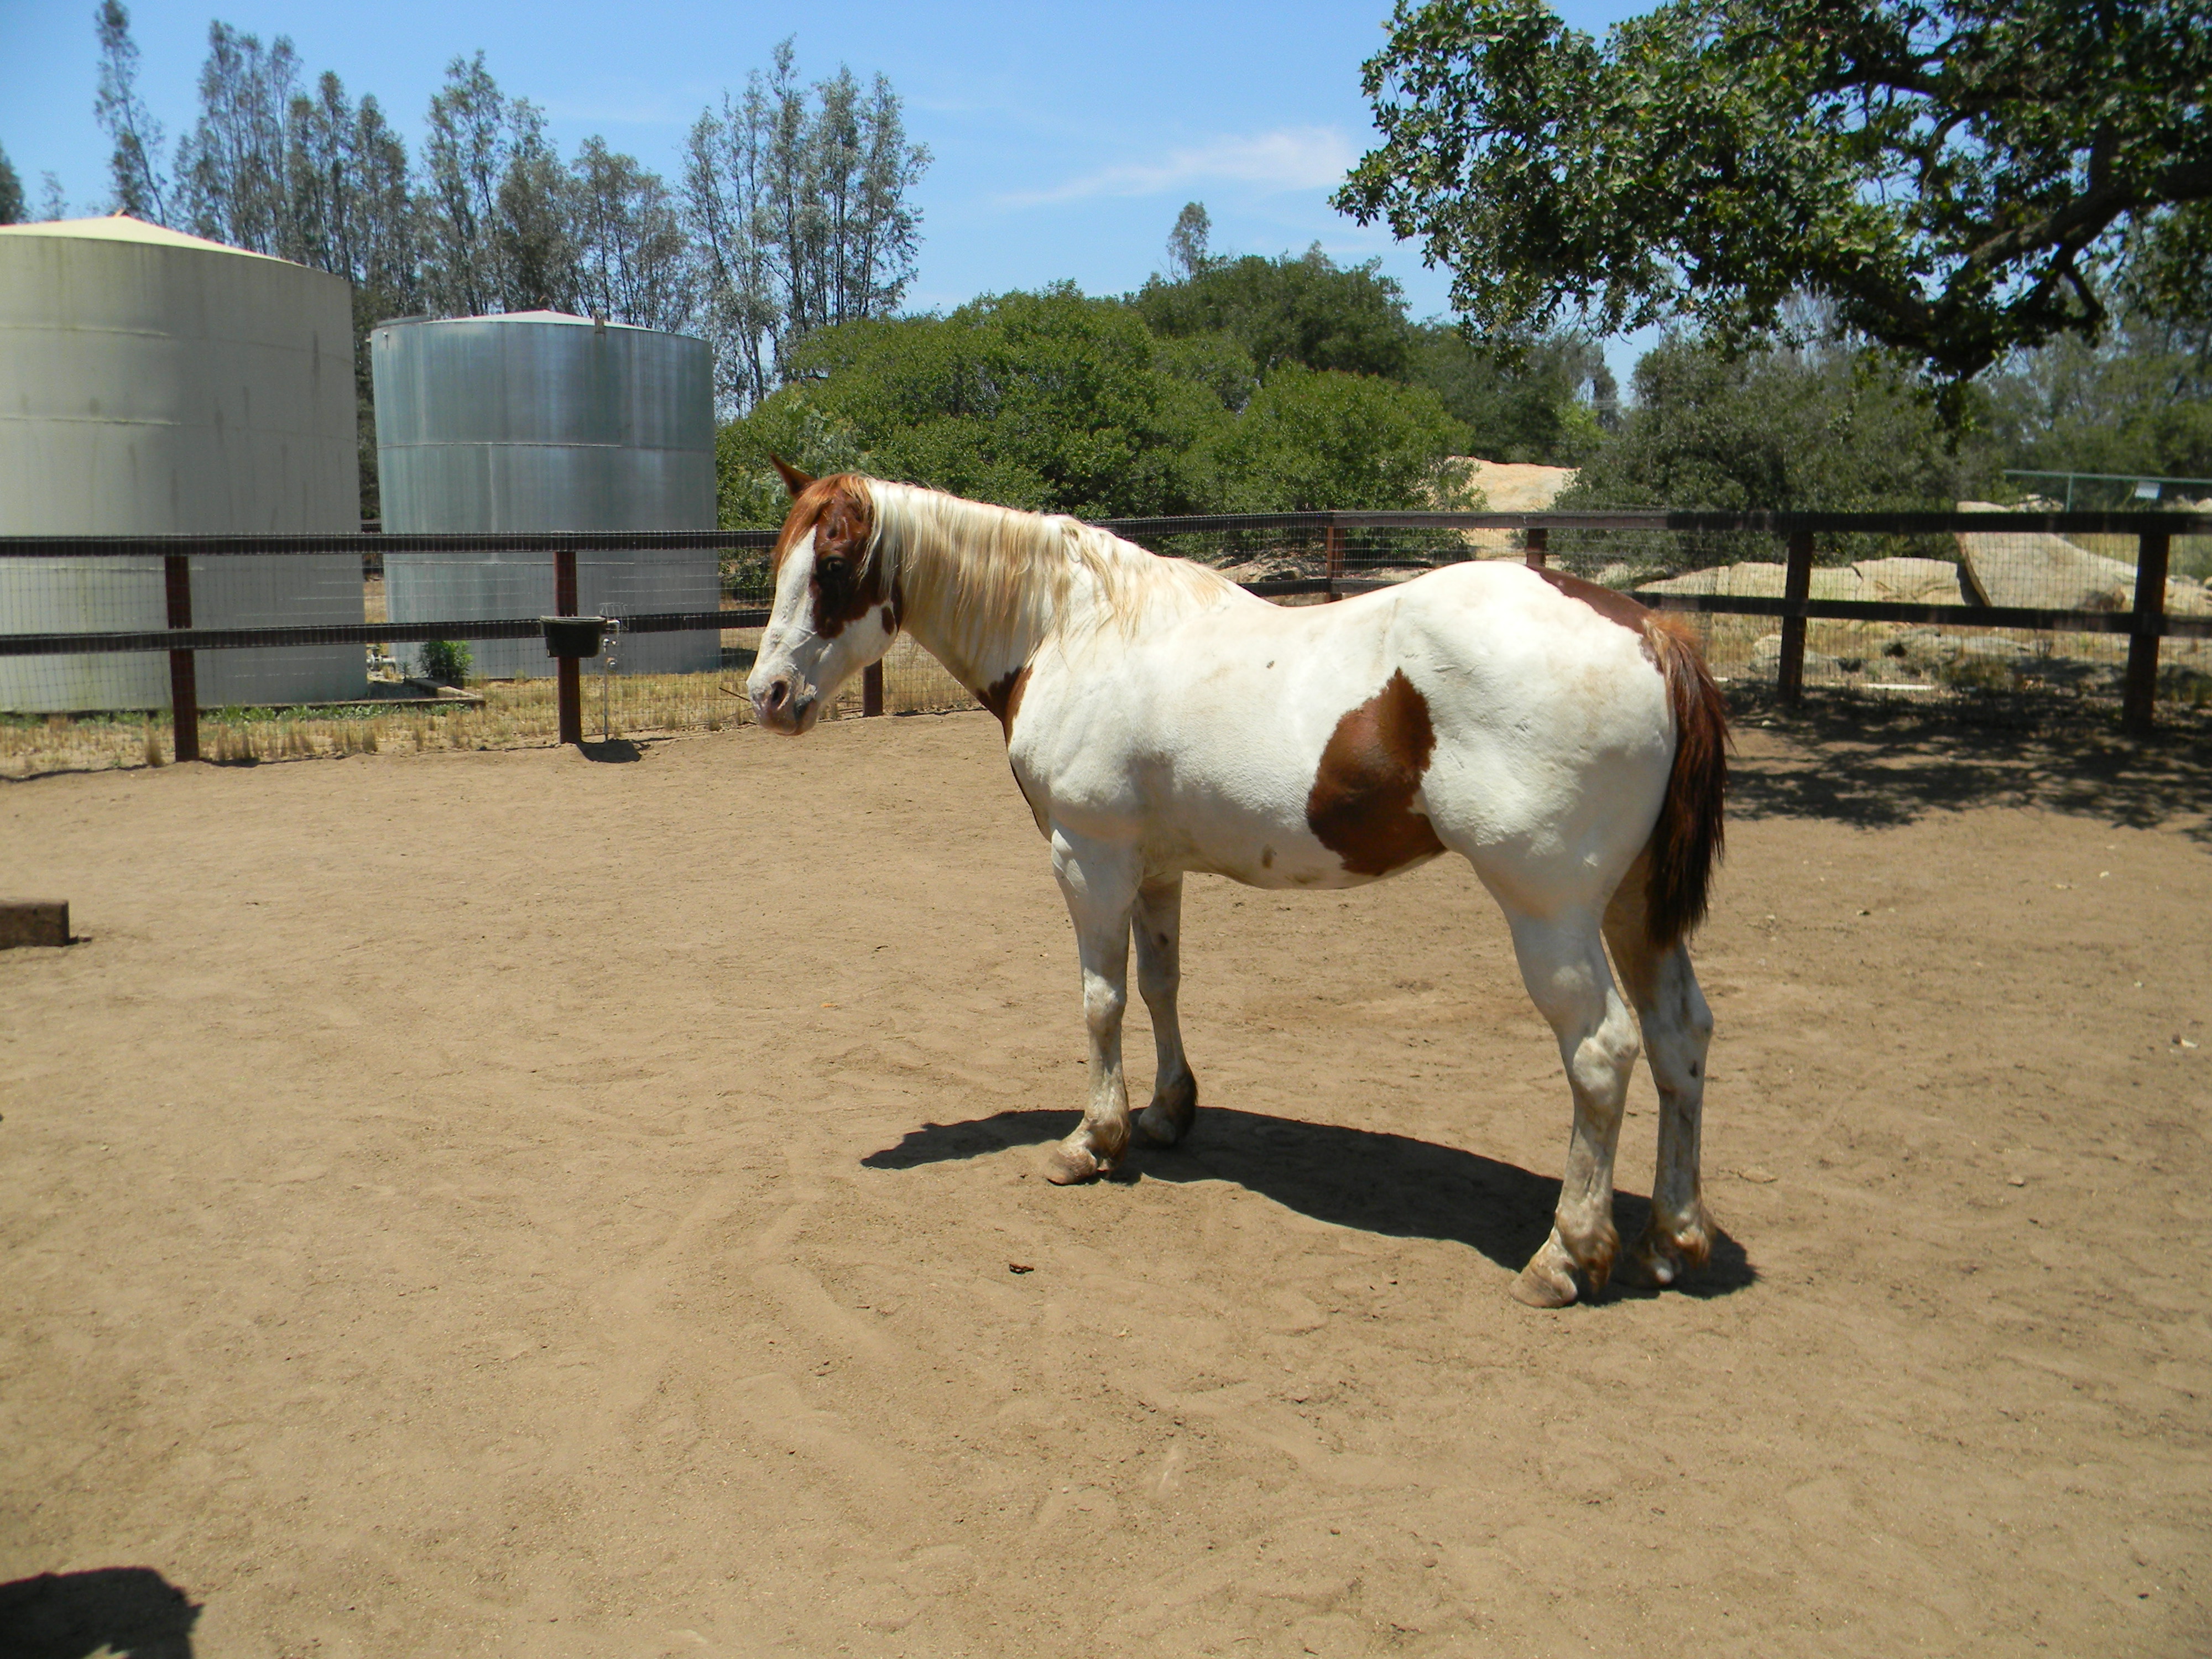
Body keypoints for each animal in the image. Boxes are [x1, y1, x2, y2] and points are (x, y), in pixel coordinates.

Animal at [746, 463, 1728, 1308]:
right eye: (782, 560)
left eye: (832, 565)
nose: (768, 695)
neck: (1073, 631)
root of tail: (1652, 633)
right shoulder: (1154, 869)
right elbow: (1160, 985)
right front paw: (1166, 1114)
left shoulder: (1088, 859)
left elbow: (1101, 999)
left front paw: (1091, 1141)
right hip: (1636, 909)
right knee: (1679, 1036)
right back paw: (1671, 1240)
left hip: (1551, 913)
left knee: (1601, 1052)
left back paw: (1567, 1255)